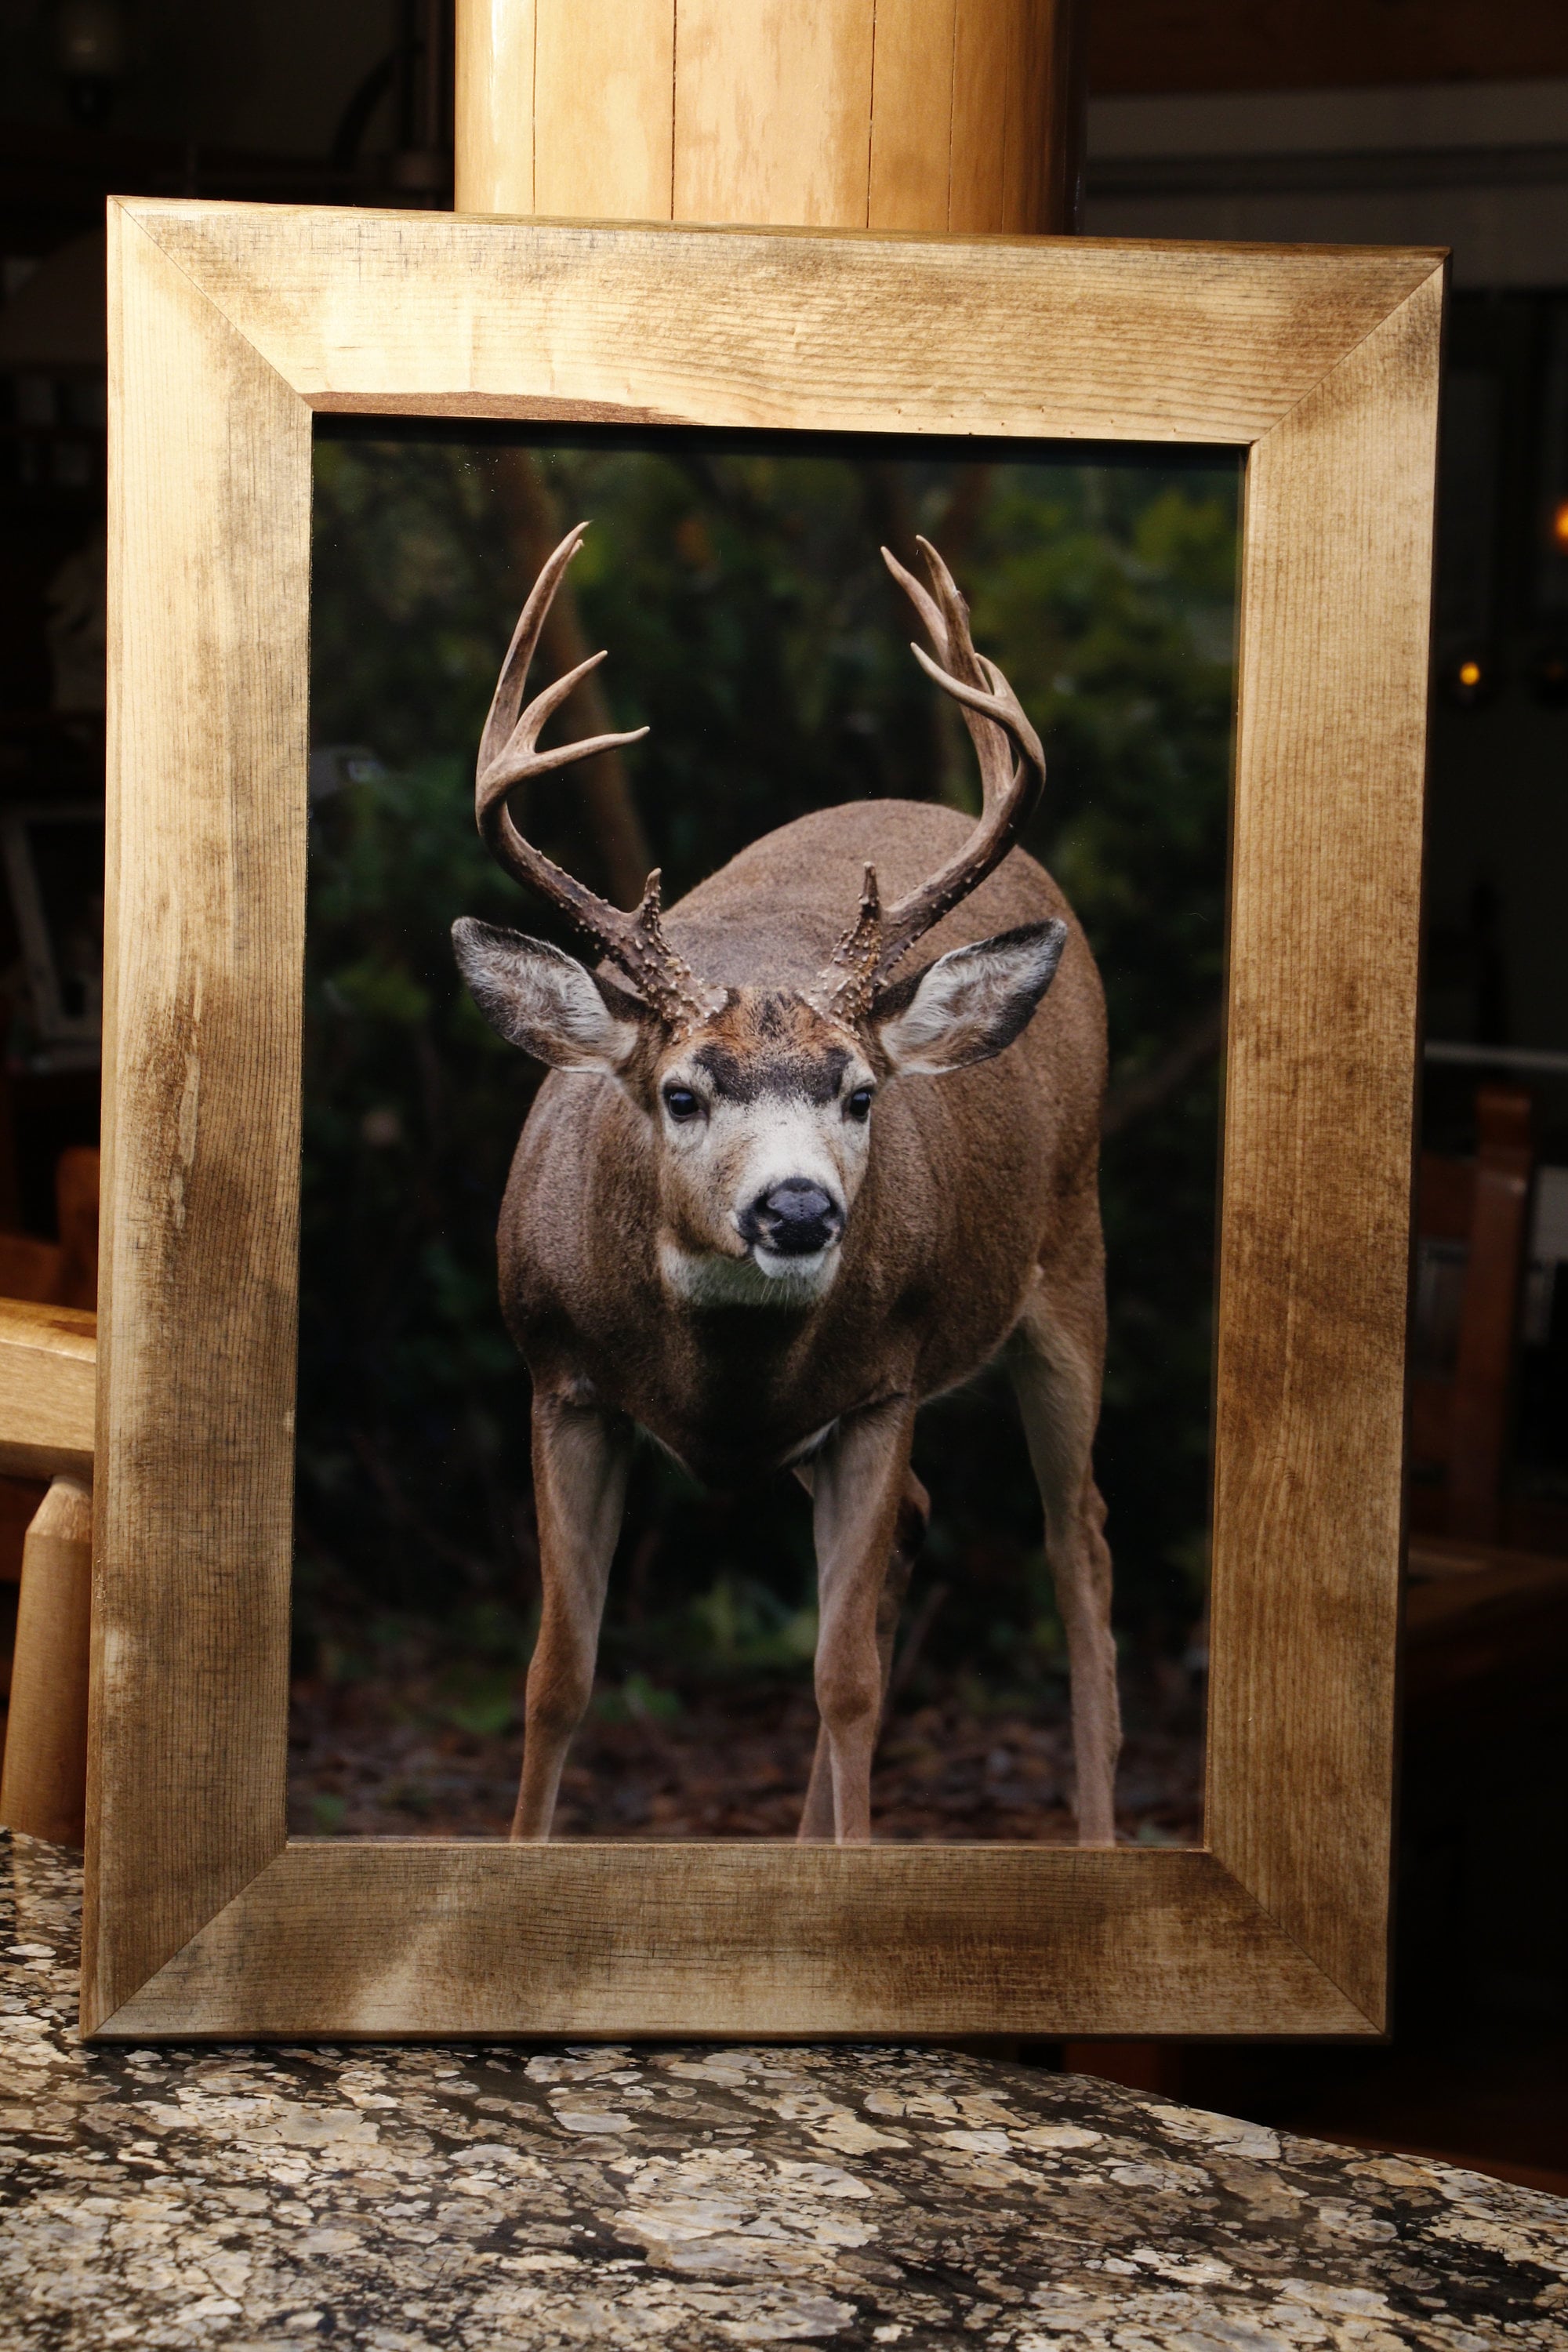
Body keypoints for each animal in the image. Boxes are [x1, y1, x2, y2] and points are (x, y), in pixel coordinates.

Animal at [453, 524, 1120, 1846]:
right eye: (680, 1093)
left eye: (860, 1093)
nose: (801, 1211)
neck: (715, 1380)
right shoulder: (559, 1380)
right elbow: (556, 1677)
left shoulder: (885, 1383)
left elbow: (846, 1680)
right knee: (922, 1530)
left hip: (1072, 1252)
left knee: (1080, 1549)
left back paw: (1103, 1840)